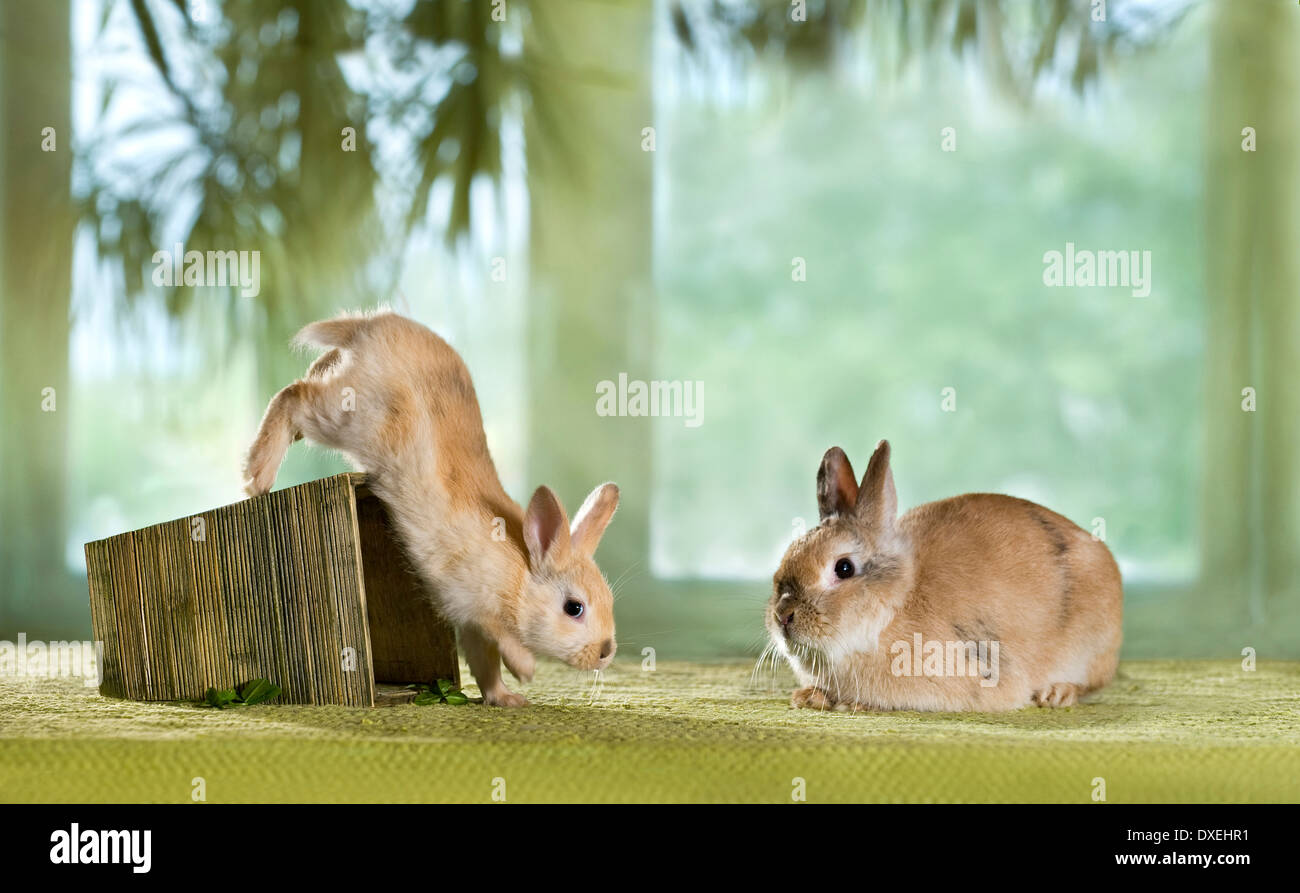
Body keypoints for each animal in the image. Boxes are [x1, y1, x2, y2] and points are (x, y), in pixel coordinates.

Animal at [242, 309, 620, 707]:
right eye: (574, 608)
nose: (605, 652)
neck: (521, 576)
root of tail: (370, 324)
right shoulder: (475, 602)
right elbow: (503, 637)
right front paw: (526, 671)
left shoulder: (471, 629)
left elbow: (485, 665)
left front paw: (506, 698)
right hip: (345, 415)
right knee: (292, 396)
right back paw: (258, 476)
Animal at [766, 440, 1122, 712]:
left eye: (843, 568)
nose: (783, 616)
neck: (897, 602)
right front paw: (808, 697)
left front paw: (850, 703)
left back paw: (1057, 694)